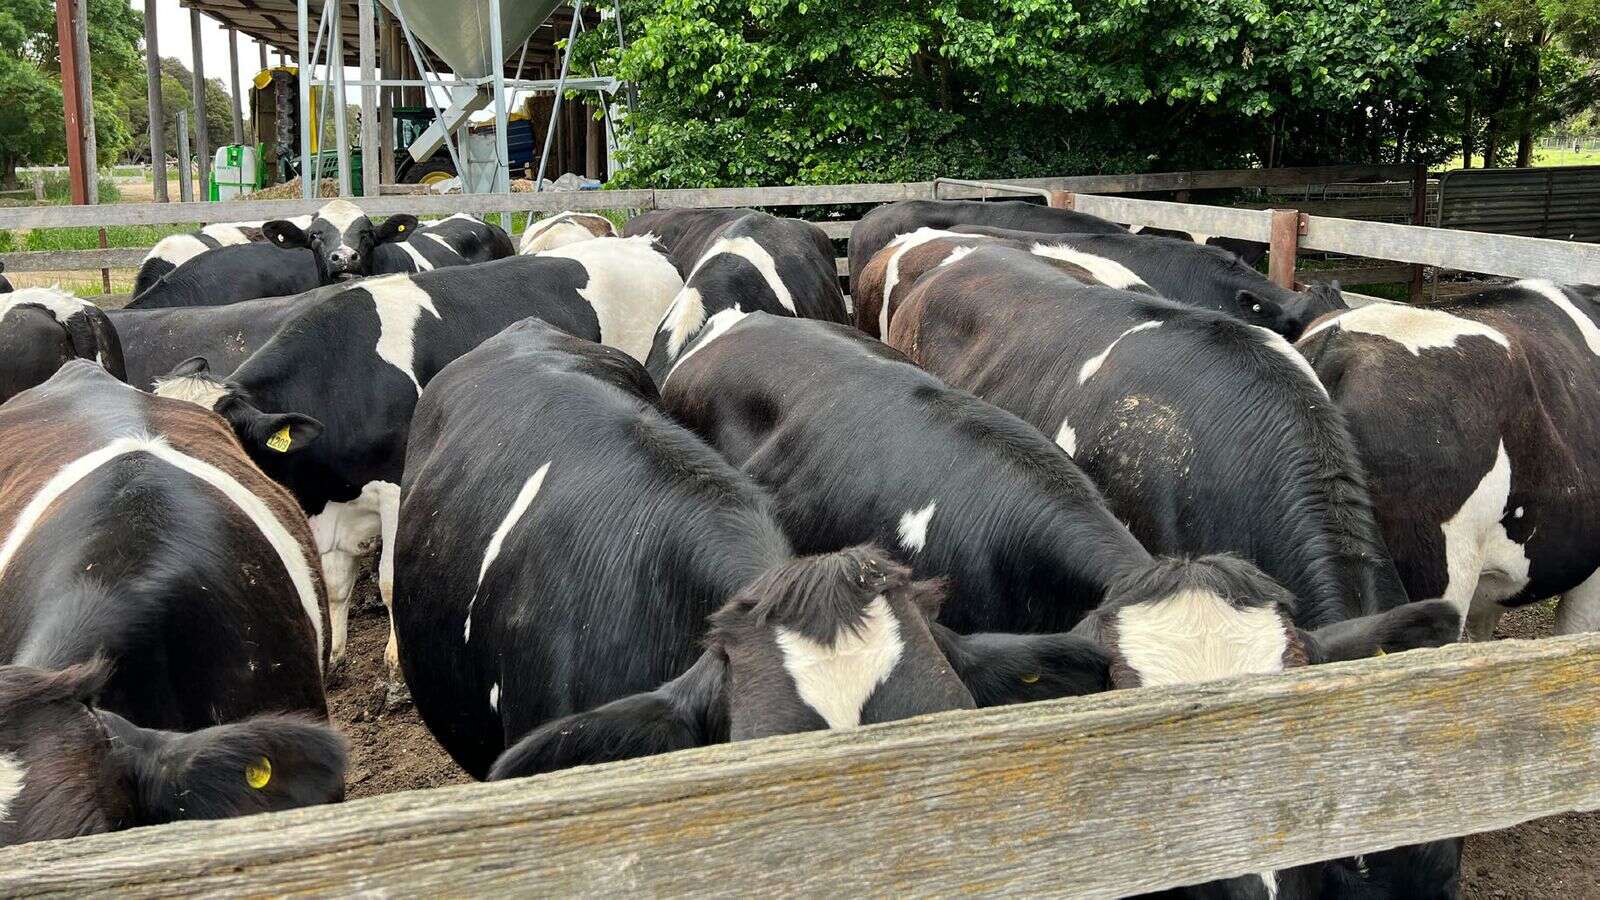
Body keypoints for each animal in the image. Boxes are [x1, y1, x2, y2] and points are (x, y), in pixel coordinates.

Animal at [151, 255, 617, 674]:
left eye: (221, 441)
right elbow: (335, 583)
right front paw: (334, 655)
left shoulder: (395, 489)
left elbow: (390, 580)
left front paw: (395, 661)